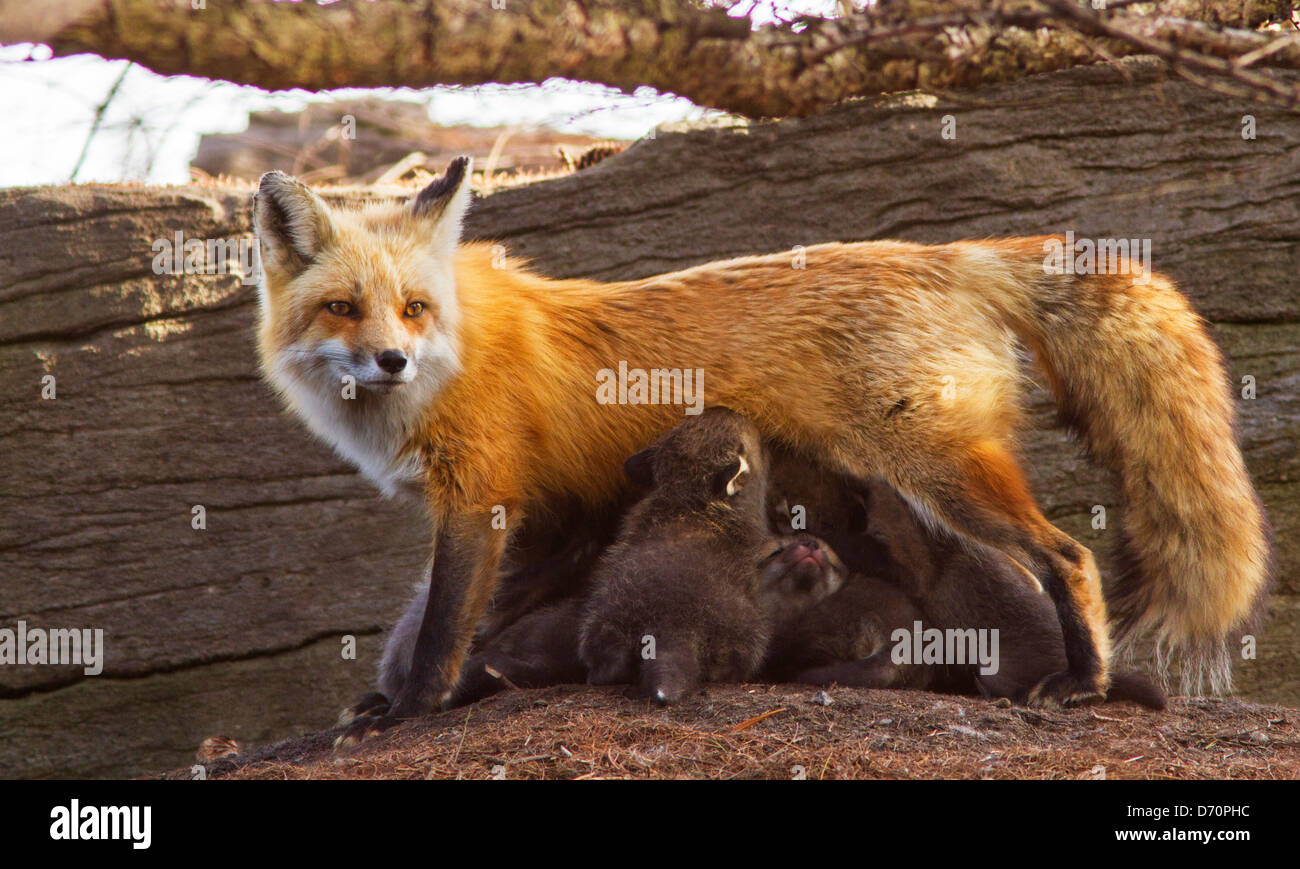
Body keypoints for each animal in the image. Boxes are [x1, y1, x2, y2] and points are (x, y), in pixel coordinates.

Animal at [252, 156, 1269, 740]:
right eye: (343, 306)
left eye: (414, 308)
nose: (390, 359)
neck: (459, 349)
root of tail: (948, 256)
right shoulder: (555, 511)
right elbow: (506, 612)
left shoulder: (481, 498)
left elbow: (442, 627)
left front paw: (410, 711)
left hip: (941, 472)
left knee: (1069, 555)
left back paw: (1082, 682)